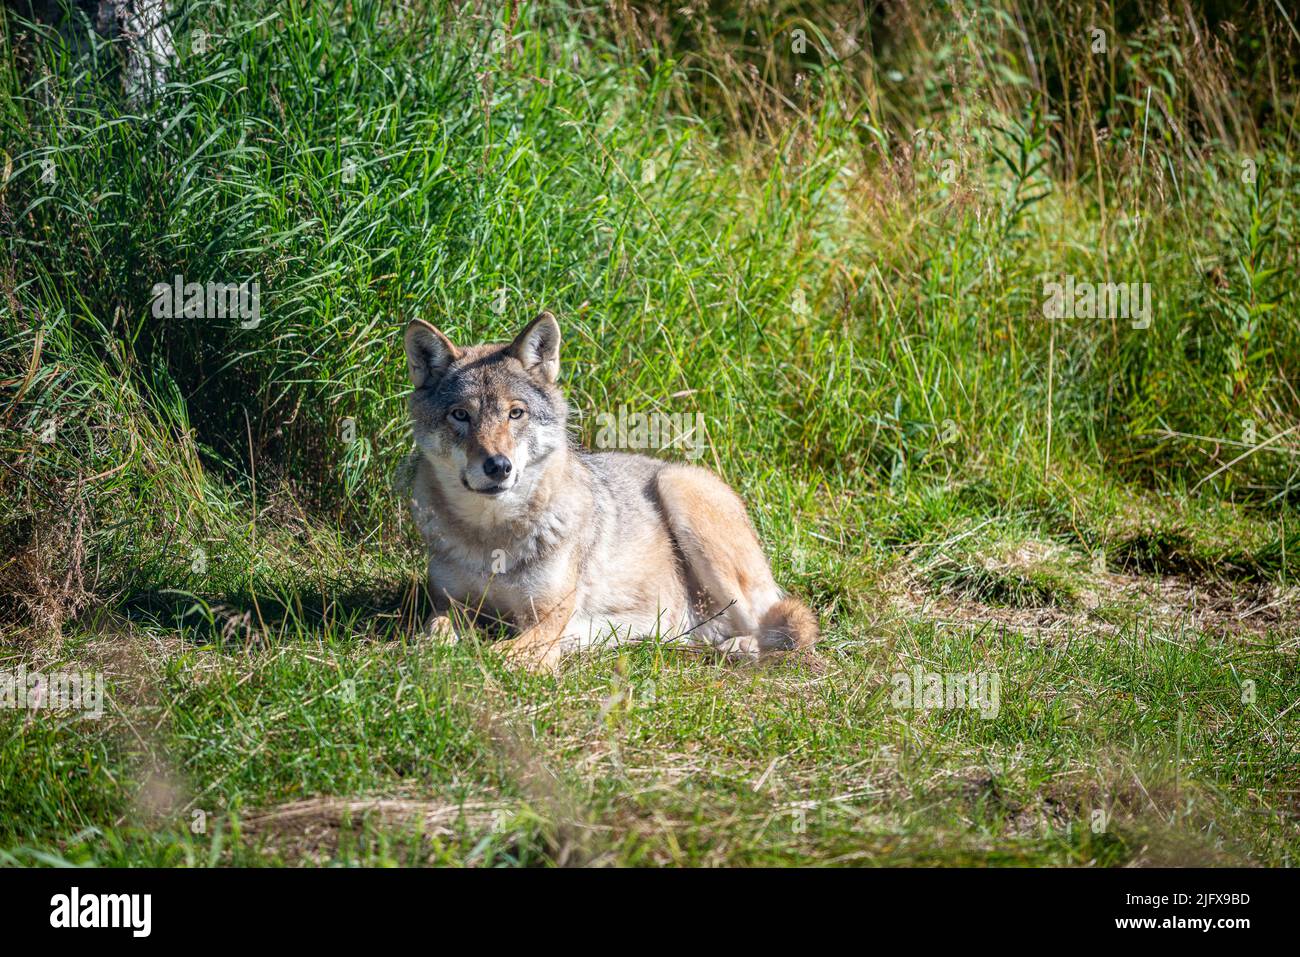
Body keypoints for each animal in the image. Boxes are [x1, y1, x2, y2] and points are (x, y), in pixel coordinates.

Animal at [402, 310, 818, 673]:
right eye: (461, 415)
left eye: (515, 413)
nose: (498, 466)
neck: (490, 539)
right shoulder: (448, 606)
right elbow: (432, 633)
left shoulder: (546, 621)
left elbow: (497, 655)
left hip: (680, 491)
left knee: (786, 627)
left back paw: (742, 647)